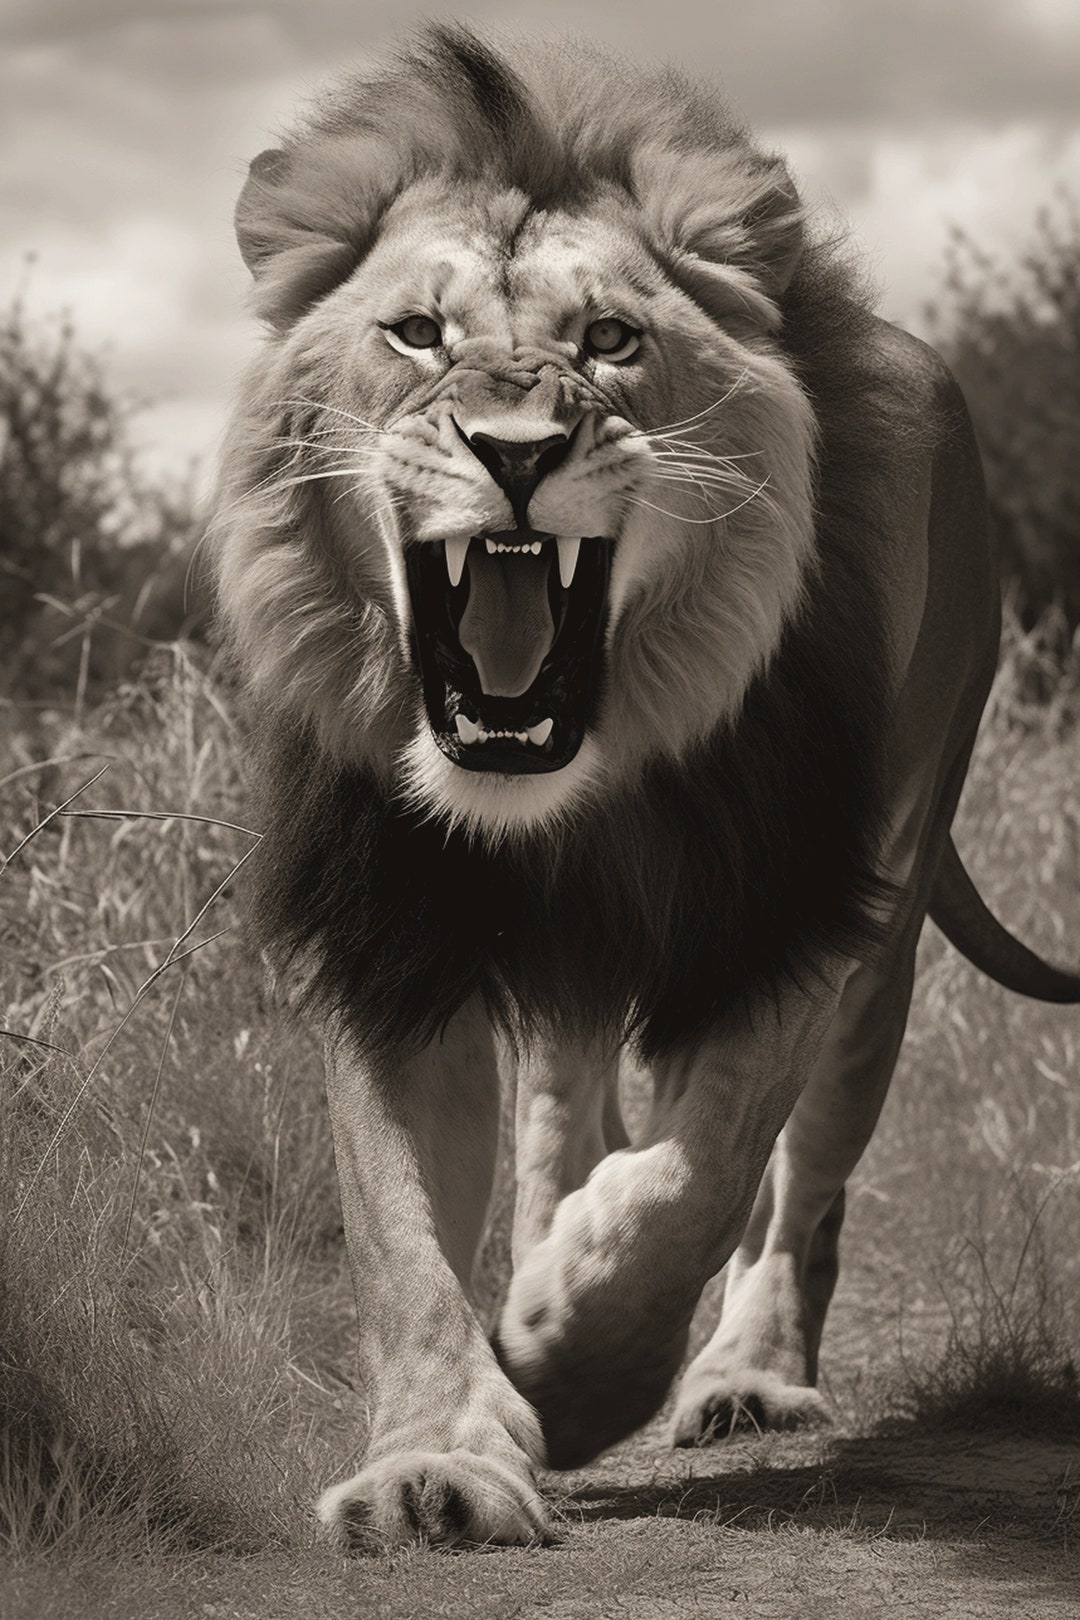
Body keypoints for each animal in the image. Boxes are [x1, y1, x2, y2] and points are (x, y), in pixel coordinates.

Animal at [212, 24, 1080, 1550]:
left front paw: (572, 1371)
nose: (515, 453)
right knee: (568, 1105)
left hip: (891, 914)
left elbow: (703, 1173)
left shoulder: (789, 915)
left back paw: (745, 1377)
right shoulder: (392, 938)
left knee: (804, 1188)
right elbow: (397, 1236)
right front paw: (438, 1467)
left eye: (610, 341)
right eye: (417, 334)